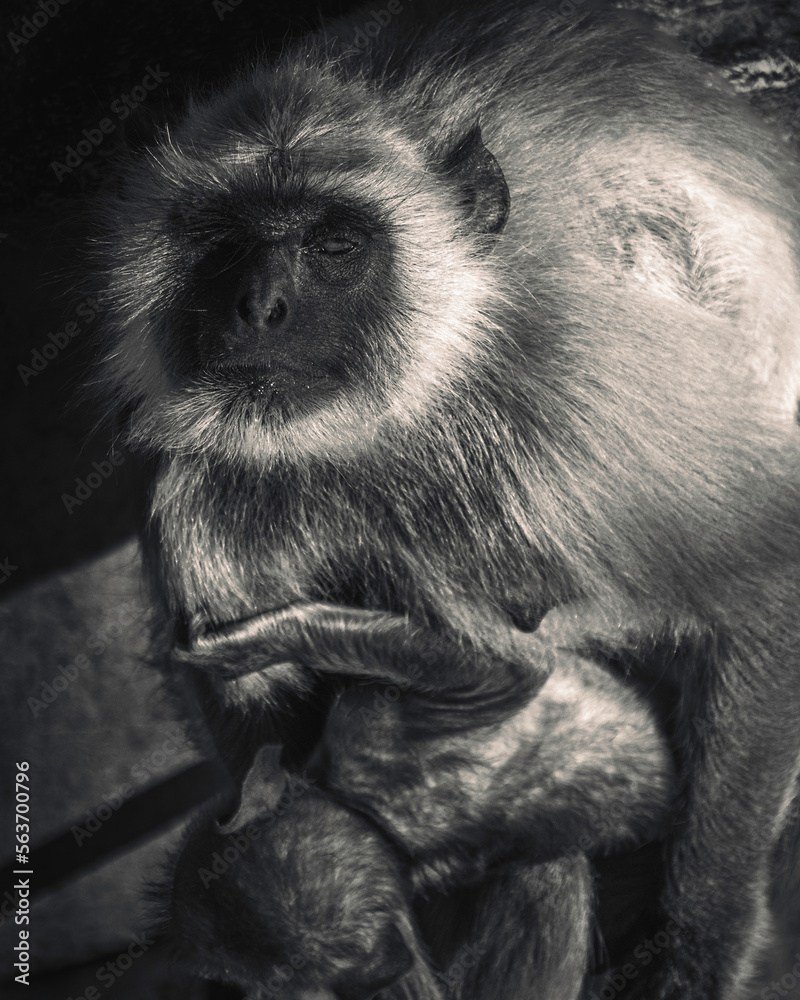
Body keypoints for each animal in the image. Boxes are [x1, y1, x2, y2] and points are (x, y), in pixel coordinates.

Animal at [93, 0, 800, 996]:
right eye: (225, 249)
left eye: (335, 247)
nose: (259, 305)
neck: (399, 422)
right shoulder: (205, 493)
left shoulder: (579, 378)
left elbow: (767, 588)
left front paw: (689, 958)